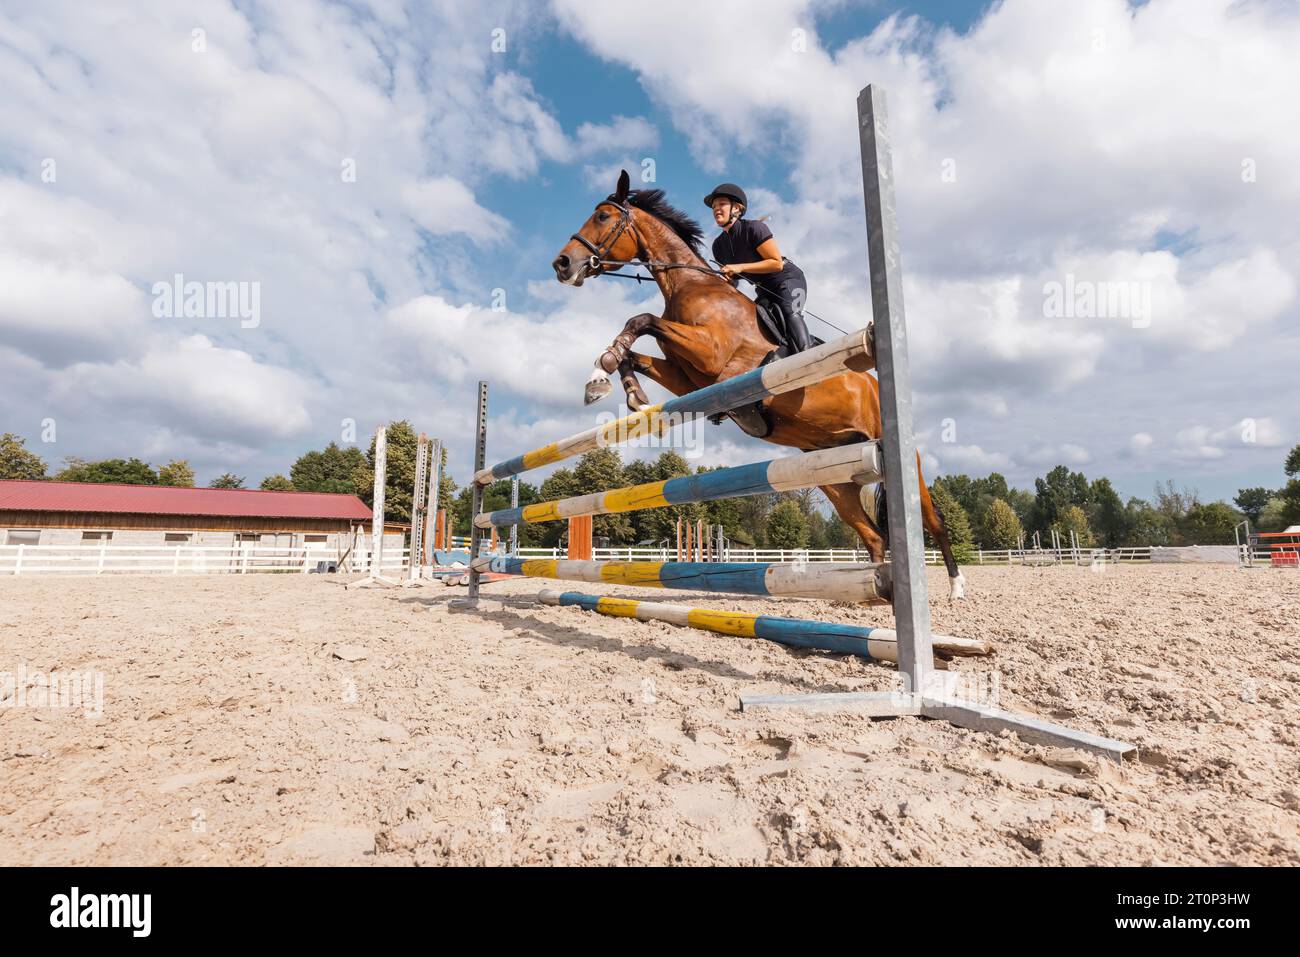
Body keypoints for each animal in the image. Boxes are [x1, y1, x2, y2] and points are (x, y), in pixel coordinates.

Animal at [550, 170, 966, 600]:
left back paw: (955, 588)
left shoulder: (713, 357)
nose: (562, 263)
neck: (690, 285)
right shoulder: (690, 382)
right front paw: (618, 387)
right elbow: (636, 350)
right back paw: (869, 593)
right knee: (871, 535)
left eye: (601, 216)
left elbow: (642, 319)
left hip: (901, 461)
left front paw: (604, 373)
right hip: (835, 476)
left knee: (932, 521)